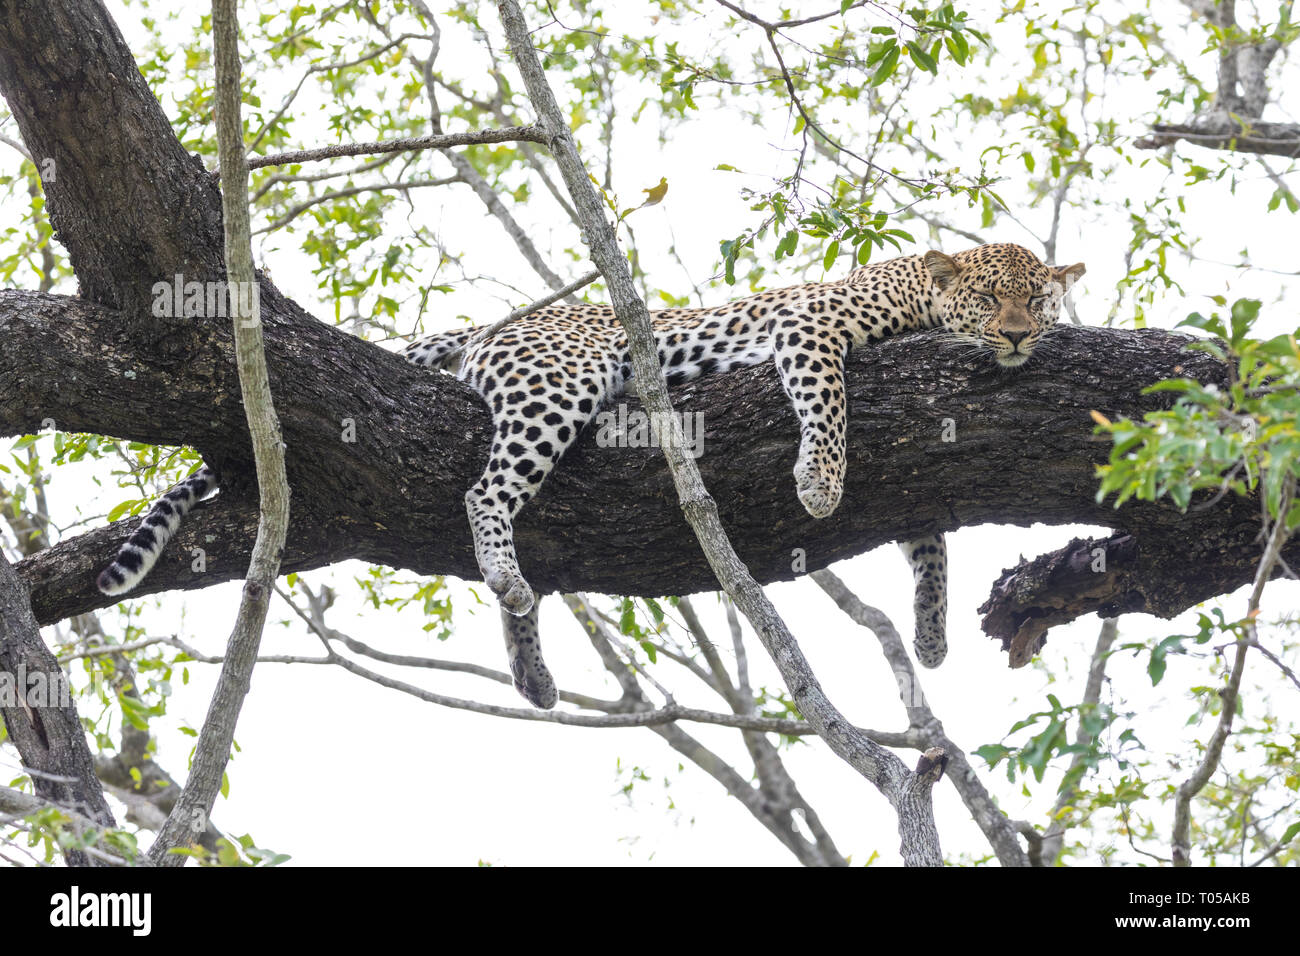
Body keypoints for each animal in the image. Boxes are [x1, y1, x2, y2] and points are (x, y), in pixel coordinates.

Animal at [97, 242, 1084, 711]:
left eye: (1038, 301)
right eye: (990, 297)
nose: (1018, 337)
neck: (919, 289)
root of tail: (492, 328)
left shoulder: (913, 471)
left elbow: (930, 541)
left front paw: (931, 634)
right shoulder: (810, 330)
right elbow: (830, 407)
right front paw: (819, 486)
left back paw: (531, 662)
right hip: (556, 386)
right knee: (483, 492)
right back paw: (505, 573)